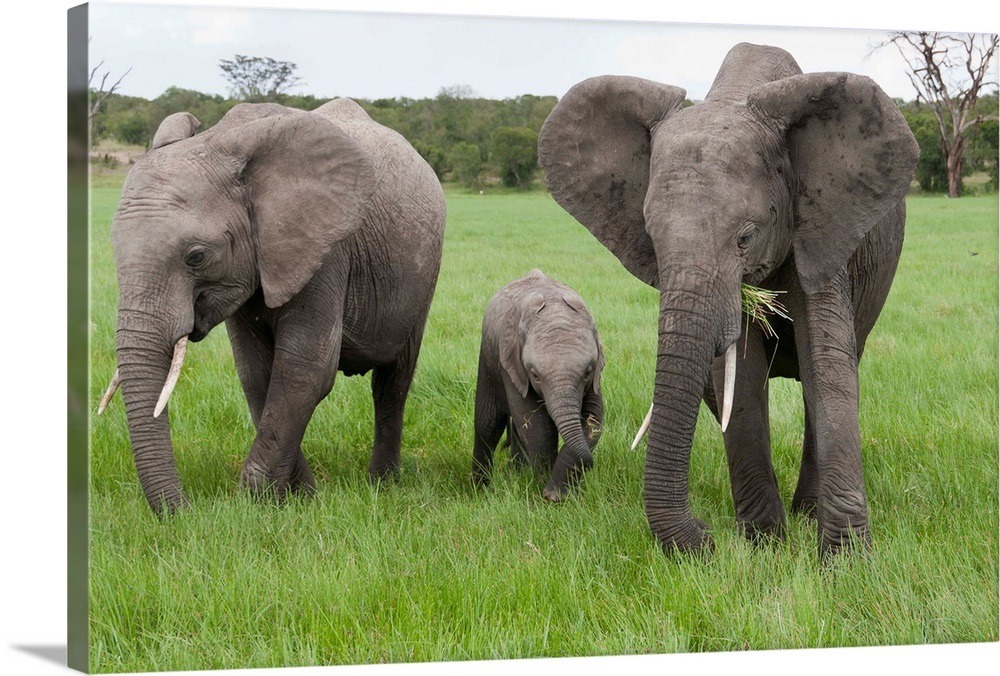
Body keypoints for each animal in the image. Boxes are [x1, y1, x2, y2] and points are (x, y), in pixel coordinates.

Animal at [99, 99, 446, 514]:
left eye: (196, 256)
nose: (184, 511)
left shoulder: (323, 249)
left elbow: (303, 369)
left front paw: (254, 502)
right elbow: (256, 373)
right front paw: (299, 496)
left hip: (423, 279)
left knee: (393, 382)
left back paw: (383, 483)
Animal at [472, 270, 605, 501]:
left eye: (588, 371)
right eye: (535, 375)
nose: (591, 465)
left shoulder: (595, 380)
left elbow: (594, 419)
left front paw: (561, 493)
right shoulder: (512, 366)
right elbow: (536, 426)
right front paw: (546, 493)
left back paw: (515, 473)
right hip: (489, 357)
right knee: (488, 424)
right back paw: (480, 489)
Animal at [538, 42, 918, 557]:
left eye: (746, 237)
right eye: (651, 239)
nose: (705, 536)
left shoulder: (820, 230)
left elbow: (826, 366)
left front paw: (846, 561)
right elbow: (739, 376)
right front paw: (764, 545)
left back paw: (808, 513)